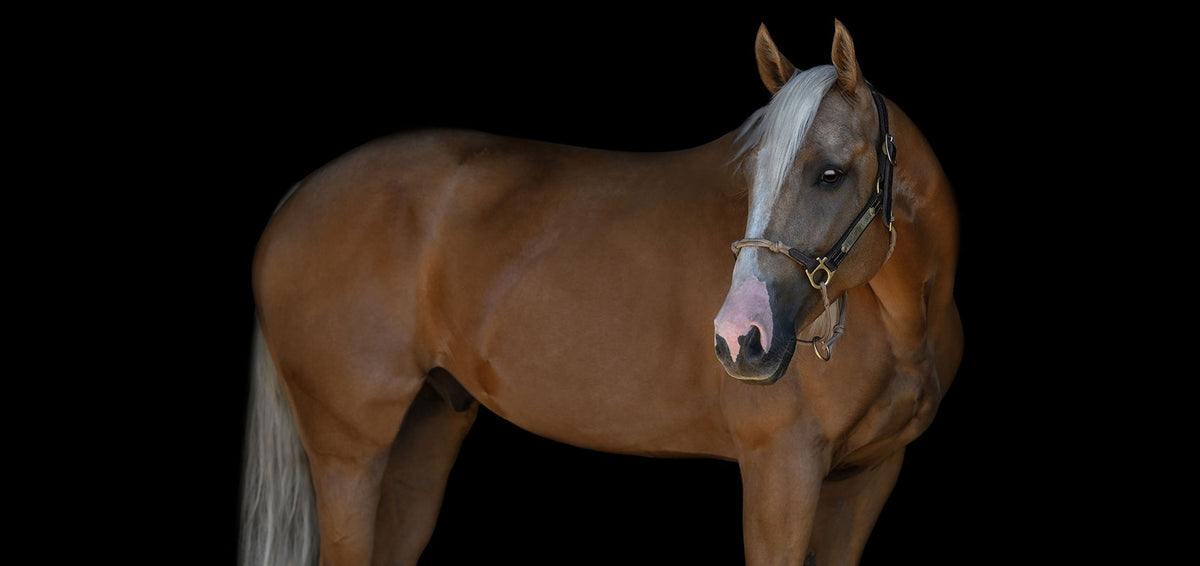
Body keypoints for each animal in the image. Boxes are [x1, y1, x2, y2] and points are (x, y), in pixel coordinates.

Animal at [241, 20, 962, 566]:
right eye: (751, 173)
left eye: (831, 173)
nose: (740, 337)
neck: (901, 321)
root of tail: (296, 196)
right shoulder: (780, 471)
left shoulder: (866, 478)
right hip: (348, 455)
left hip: (424, 433)